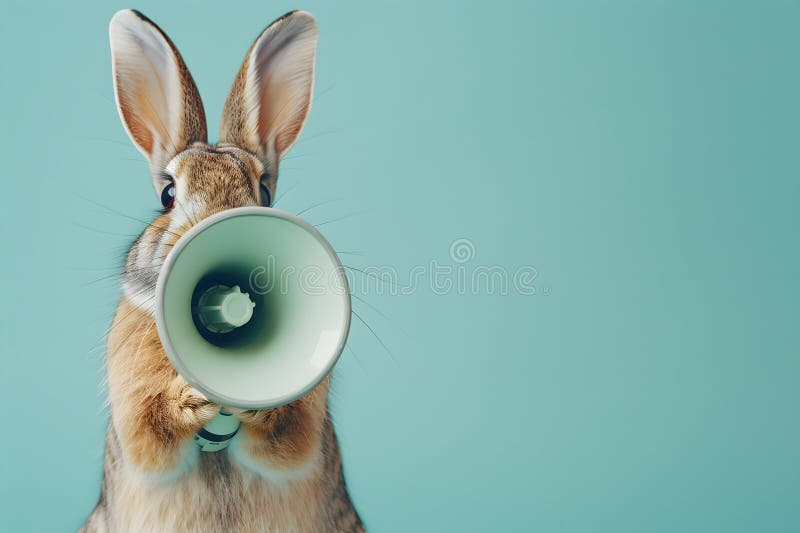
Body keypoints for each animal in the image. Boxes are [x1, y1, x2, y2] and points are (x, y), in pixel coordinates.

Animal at [80, 10, 363, 532]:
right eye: (168, 194)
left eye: (265, 193)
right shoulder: (135, 415)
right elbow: (152, 436)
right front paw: (192, 401)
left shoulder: (302, 434)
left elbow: (286, 440)